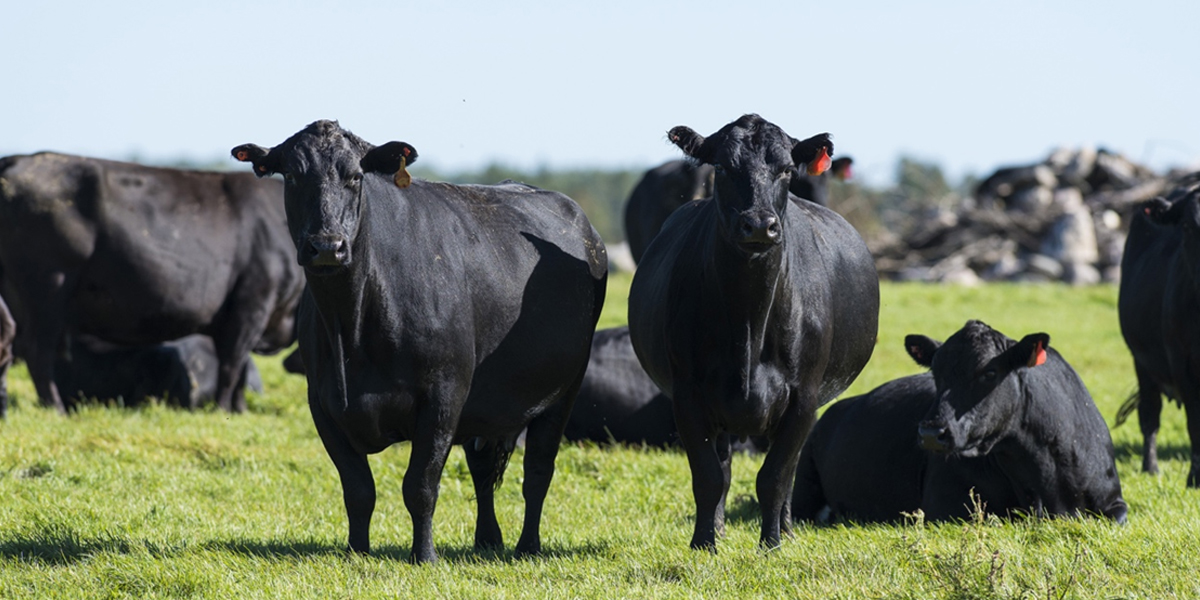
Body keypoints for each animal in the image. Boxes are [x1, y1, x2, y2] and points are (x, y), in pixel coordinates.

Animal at [0, 153, 303, 414]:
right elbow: (232, 366)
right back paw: (57, 409)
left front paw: (239, 411)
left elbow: (240, 370)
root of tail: (21, 159)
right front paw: (222, 410)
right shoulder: (252, 303)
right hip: (48, 289)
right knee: (38, 352)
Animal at [232, 120, 608, 564]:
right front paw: (357, 550)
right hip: (486, 404)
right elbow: (358, 489)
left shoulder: (444, 395)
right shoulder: (322, 403)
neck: (352, 331)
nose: (327, 246)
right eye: (291, 176)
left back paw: (527, 545)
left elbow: (421, 485)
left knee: (538, 471)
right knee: (483, 469)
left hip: (563, 390)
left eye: (355, 176)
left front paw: (424, 555)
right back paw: (487, 539)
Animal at [1117, 174, 1200, 486]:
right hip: (1141, 362)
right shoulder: (1182, 362)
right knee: (1149, 415)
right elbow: (1195, 421)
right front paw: (1194, 478)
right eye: (1187, 226)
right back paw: (1150, 467)